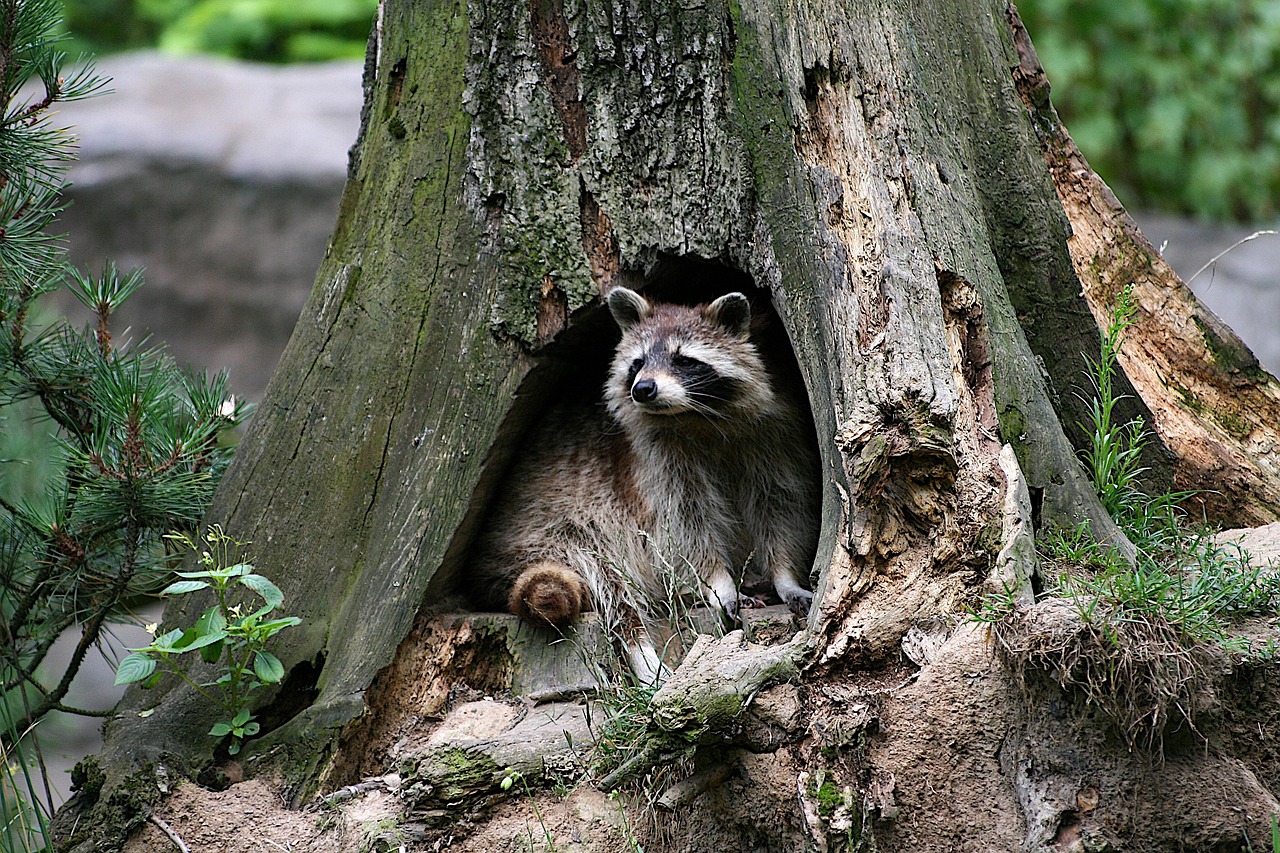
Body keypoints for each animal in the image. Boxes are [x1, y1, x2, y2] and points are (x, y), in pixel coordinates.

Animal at [468, 287, 820, 681]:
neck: (698, 416)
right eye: (637, 363)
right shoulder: (650, 461)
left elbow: (779, 503)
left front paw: (784, 575)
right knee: (611, 583)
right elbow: (683, 525)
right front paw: (717, 580)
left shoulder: (774, 436)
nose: (643, 389)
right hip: (558, 532)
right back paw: (643, 651)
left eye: (684, 360)